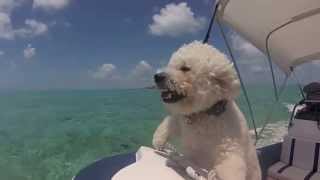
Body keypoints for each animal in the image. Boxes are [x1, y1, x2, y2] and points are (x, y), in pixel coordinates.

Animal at [154, 41, 262, 180]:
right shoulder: (181, 121)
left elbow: (230, 167)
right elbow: (169, 125)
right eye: (170, 65)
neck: (204, 114)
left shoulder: (229, 148)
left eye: (185, 68)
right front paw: (159, 141)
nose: (157, 76)